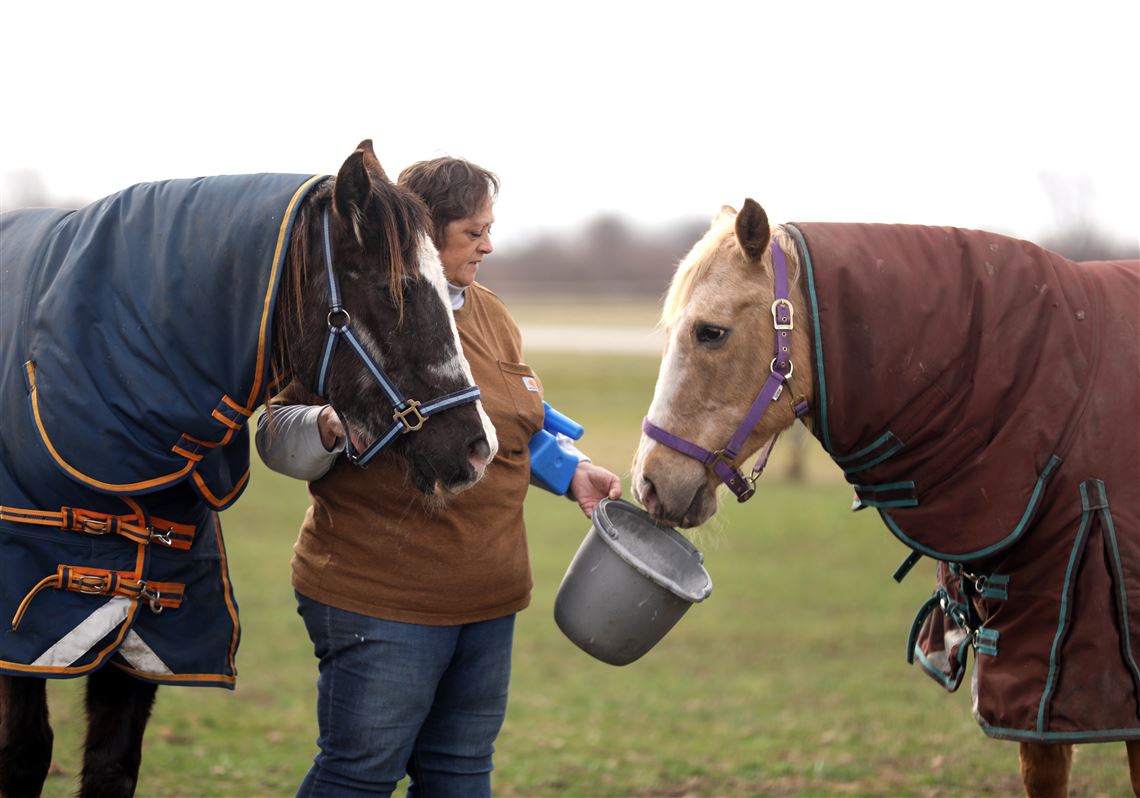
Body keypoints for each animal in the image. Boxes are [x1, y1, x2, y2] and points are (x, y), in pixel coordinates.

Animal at [0, 140, 497, 798]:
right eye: (399, 292)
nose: (477, 446)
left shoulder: (144, 628)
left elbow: (110, 763)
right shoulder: (26, 632)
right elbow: (24, 752)